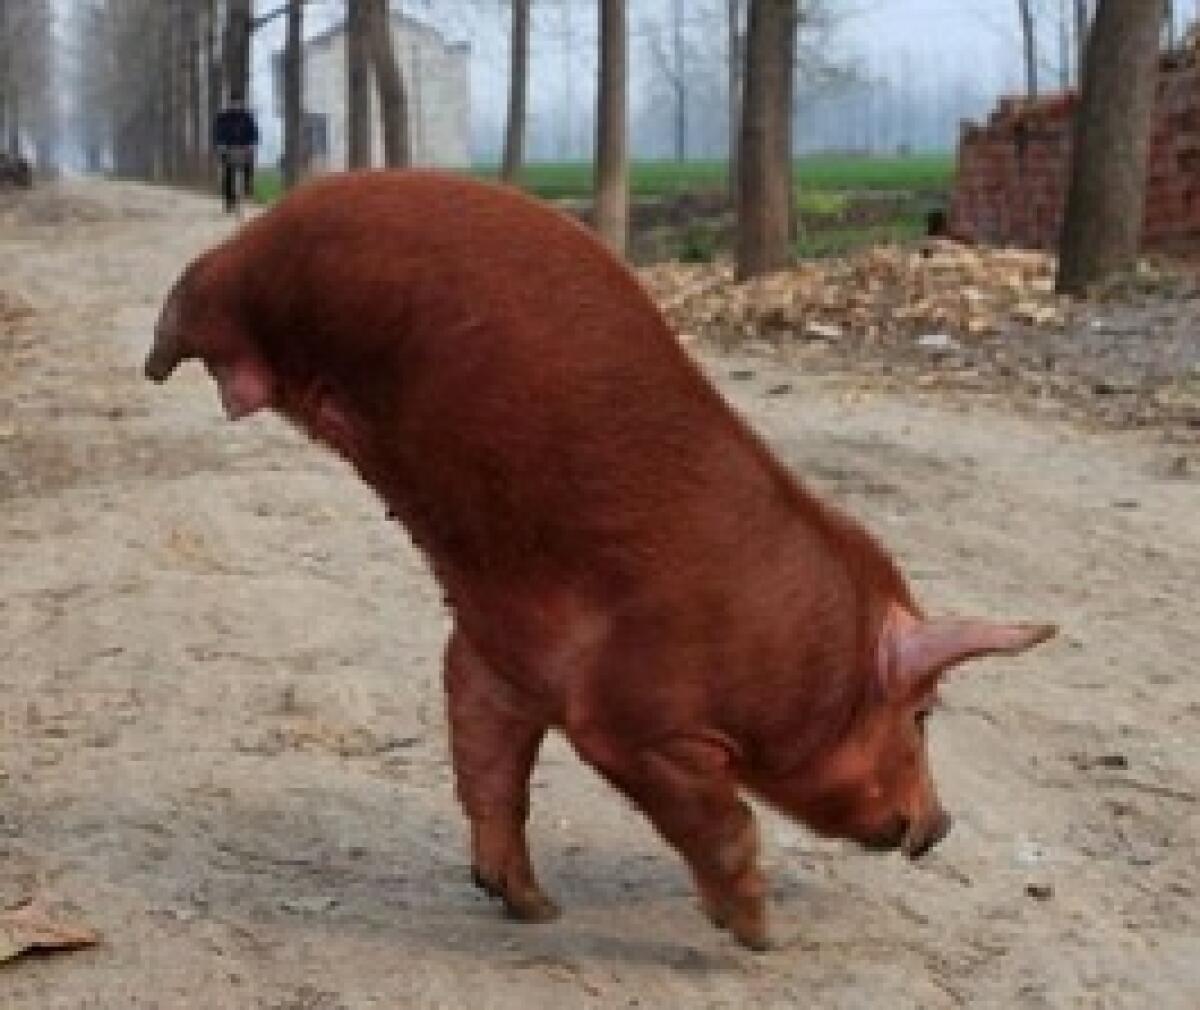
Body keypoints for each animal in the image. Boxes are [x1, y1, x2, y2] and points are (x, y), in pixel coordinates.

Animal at [145, 171, 1055, 950]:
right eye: (923, 714)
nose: (941, 825)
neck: (794, 653)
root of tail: (291, 203)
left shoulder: (499, 658)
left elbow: (490, 771)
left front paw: (531, 908)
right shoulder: (631, 716)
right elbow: (720, 820)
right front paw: (758, 936)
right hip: (244, 282)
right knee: (187, 294)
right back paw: (155, 362)